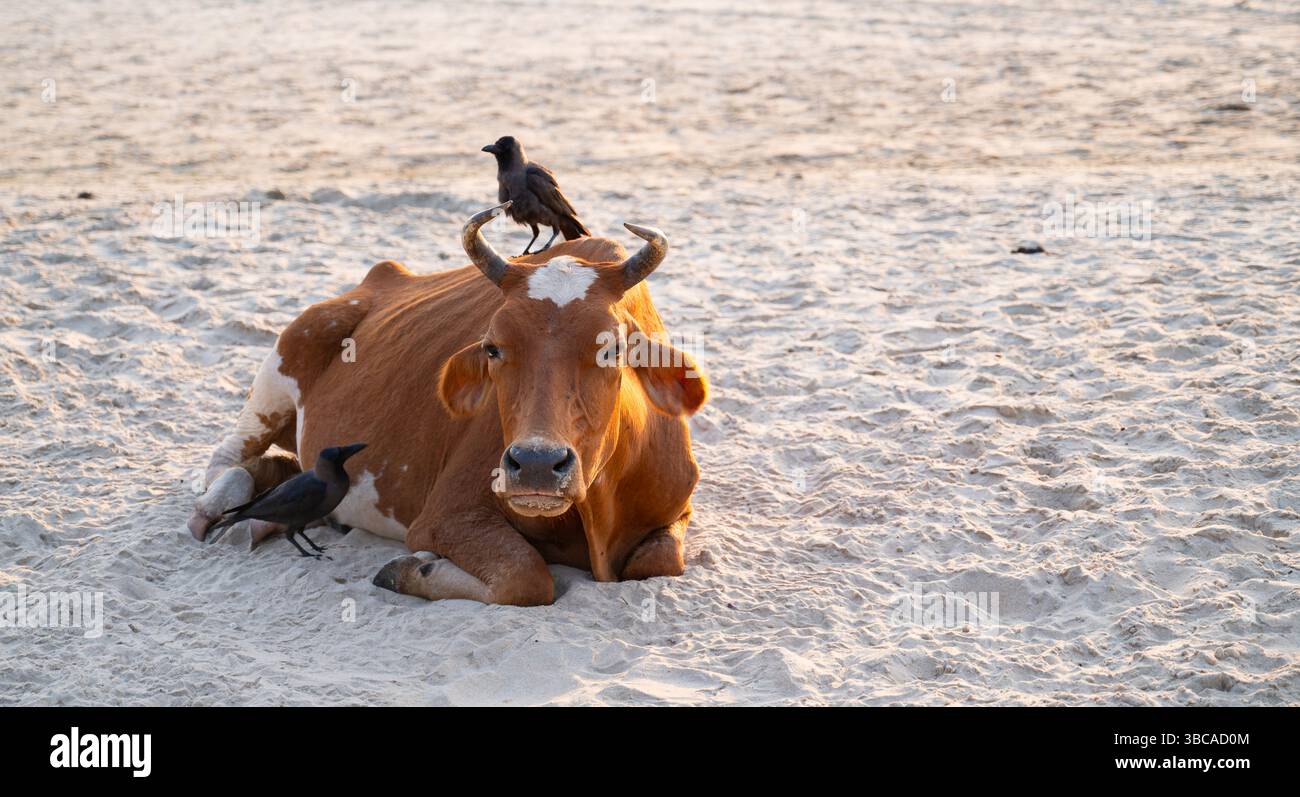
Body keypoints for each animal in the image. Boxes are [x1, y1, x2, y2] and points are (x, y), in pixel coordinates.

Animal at [189, 203, 708, 606]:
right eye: (493, 347)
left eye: (612, 348)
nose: (537, 465)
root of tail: (380, 278)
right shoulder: (447, 515)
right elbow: (525, 576)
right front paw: (413, 570)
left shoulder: (676, 510)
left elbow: (659, 560)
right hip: (281, 366)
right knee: (227, 462)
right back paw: (226, 513)